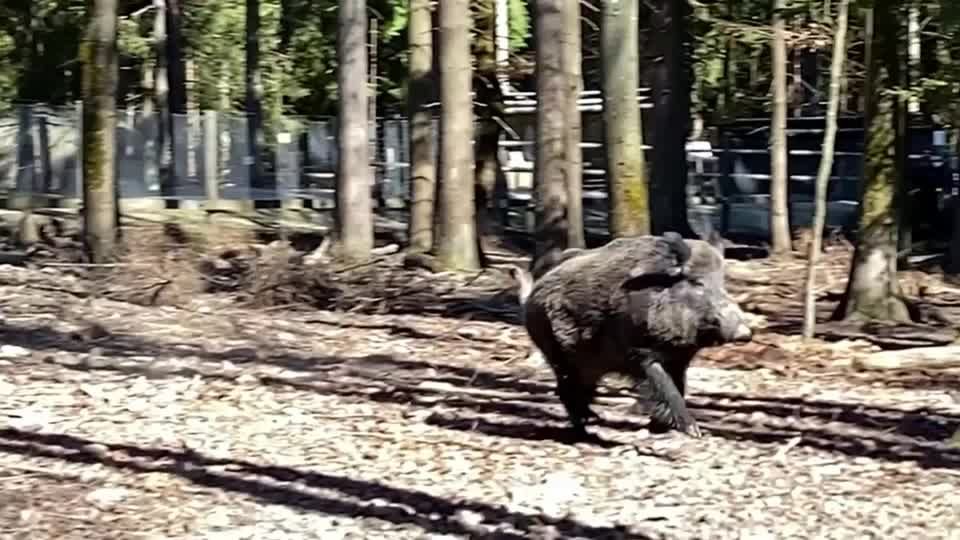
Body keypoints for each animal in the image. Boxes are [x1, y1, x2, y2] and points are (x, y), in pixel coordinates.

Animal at [512, 231, 752, 439]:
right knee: (565, 390)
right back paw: (588, 426)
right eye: (697, 282)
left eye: (723, 283)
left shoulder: (679, 360)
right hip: (557, 352)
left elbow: (679, 387)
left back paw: (593, 420)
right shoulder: (640, 354)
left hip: (588, 366)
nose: (745, 333)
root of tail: (532, 294)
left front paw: (660, 428)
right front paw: (695, 432)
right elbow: (667, 389)